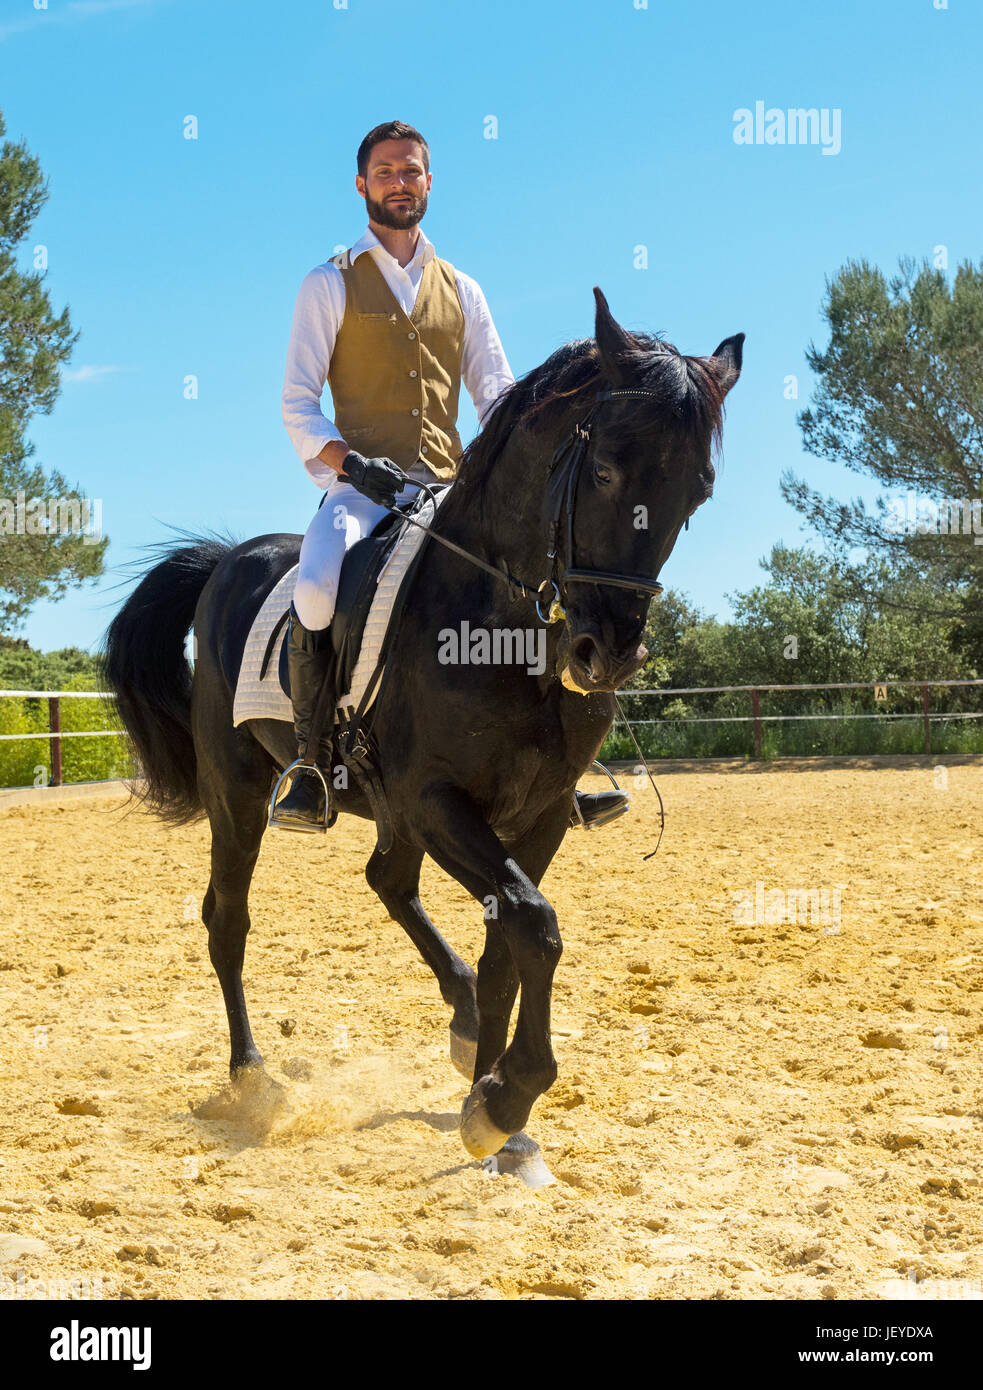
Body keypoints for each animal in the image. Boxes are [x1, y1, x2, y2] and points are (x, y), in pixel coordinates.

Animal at [103, 288, 743, 1178]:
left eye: (698, 492)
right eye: (605, 469)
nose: (607, 654)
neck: (506, 628)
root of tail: (228, 559)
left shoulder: (538, 813)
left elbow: (510, 941)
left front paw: (495, 1107)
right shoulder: (437, 798)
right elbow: (534, 925)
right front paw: (505, 1097)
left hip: (390, 813)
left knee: (387, 882)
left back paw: (463, 1019)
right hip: (241, 798)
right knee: (228, 921)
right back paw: (253, 1078)